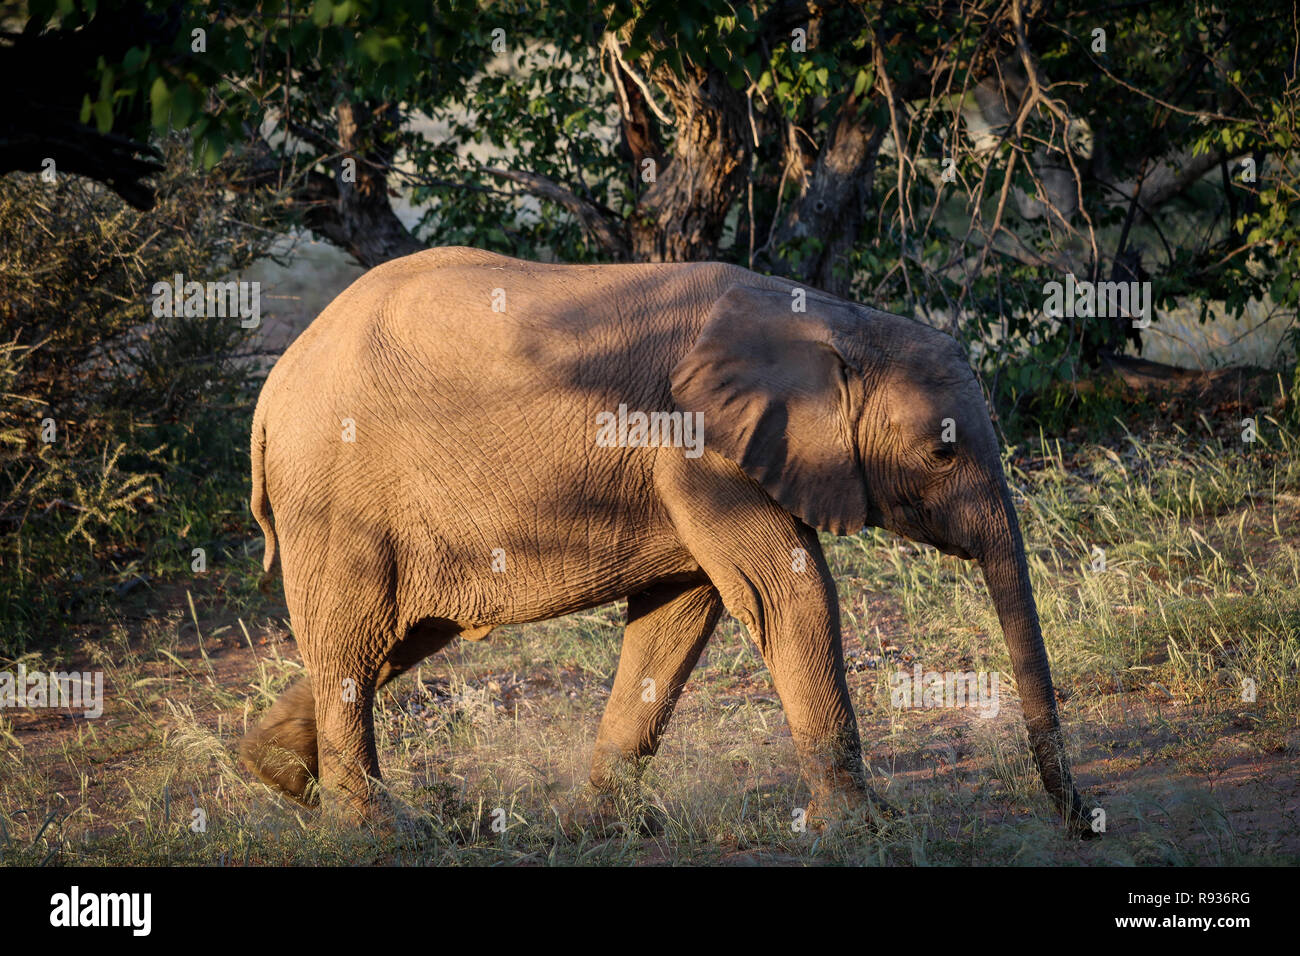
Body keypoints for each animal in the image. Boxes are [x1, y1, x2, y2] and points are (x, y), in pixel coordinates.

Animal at [239, 245, 1092, 834]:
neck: (825, 321)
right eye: (942, 452)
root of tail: (270, 394)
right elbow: (789, 597)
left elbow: (677, 618)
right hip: (333, 497)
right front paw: (864, 832)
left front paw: (601, 828)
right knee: (353, 645)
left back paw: (280, 775)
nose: (1078, 822)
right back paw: (381, 834)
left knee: (383, 643)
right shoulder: (698, 450)